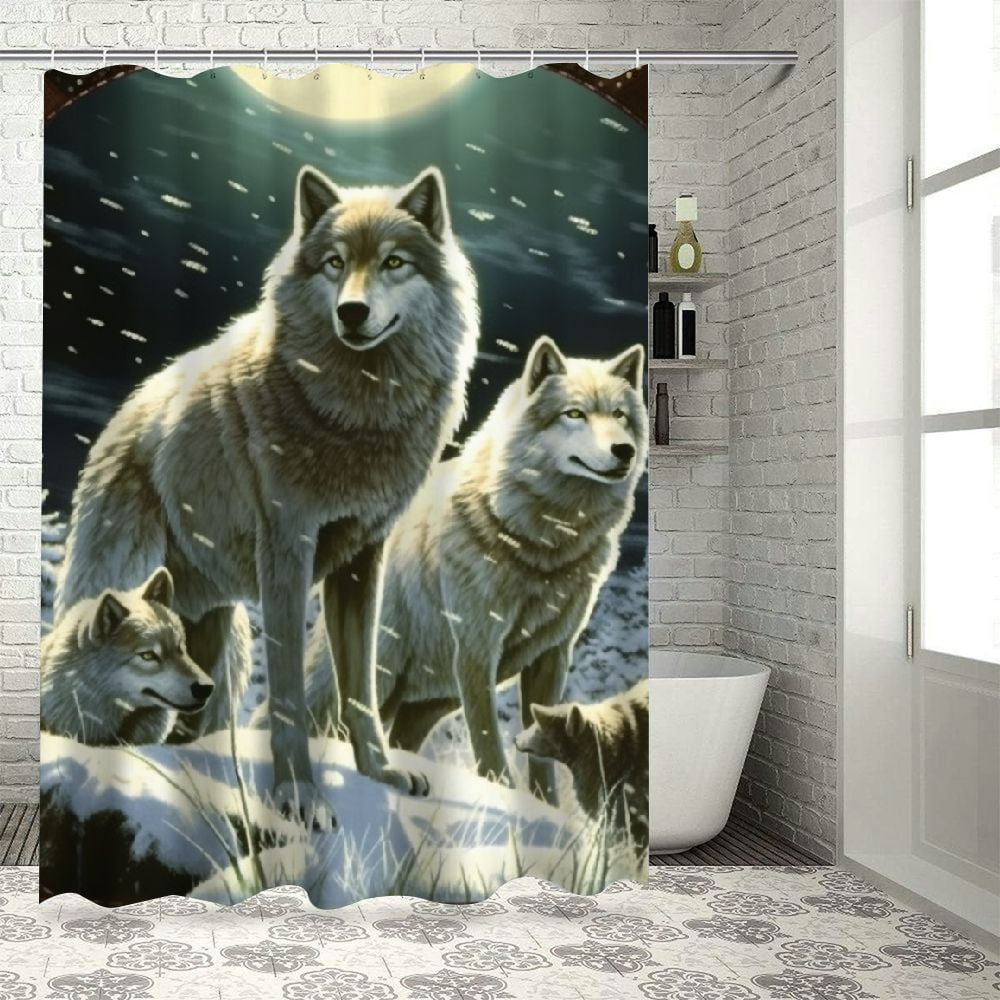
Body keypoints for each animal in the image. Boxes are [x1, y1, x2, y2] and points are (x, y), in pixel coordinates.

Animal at [305, 335, 647, 803]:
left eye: (619, 416)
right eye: (575, 413)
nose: (624, 451)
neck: (542, 544)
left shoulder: (553, 656)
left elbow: (543, 750)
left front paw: (547, 807)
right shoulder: (477, 651)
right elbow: (488, 741)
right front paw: (502, 793)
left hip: (429, 702)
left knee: (399, 738)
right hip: (378, 677)